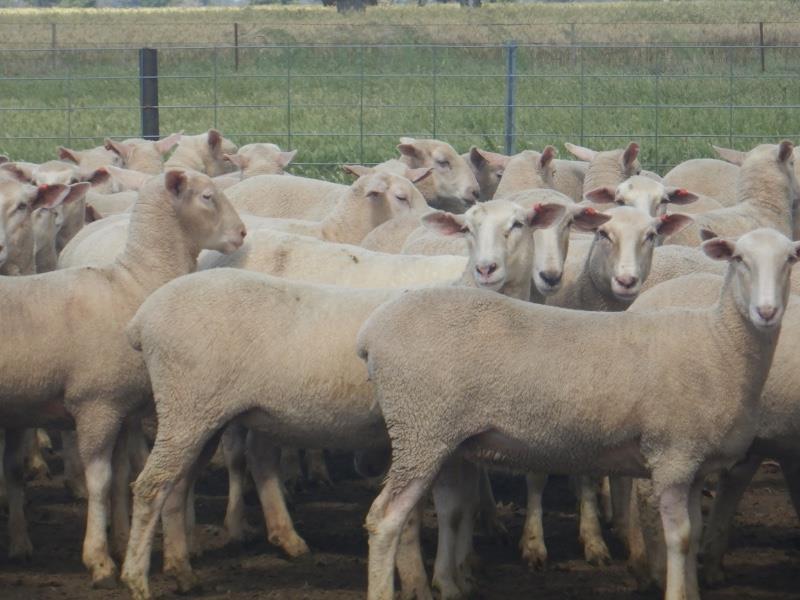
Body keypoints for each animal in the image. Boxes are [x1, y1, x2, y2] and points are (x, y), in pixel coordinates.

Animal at [0, 170, 245, 586]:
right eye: (207, 197)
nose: (242, 233)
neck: (135, 283)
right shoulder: (95, 405)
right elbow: (99, 483)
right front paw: (98, 560)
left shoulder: (121, 409)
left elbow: (118, 480)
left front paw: (120, 542)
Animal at [119, 199, 564, 600]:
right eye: (467, 229)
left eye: (519, 224)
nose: (486, 269)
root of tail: (142, 318)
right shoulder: (419, 430)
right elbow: (414, 517)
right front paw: (419, 583)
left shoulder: (450, 436)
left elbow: (460, 507)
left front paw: (461, 575)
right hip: (187, 405)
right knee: (151, 486)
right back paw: (137, 579)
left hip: (201, 412)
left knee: (178, 483)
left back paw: (184, 568)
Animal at [356, 227, 798, 600]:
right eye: (739, 258)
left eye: (790, 259)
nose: (767, 311)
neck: (720, 343)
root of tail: (372, 331)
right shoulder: (672, 455)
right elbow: (681, 538)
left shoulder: (694, 465)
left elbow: (694, 534)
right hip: (421, 428)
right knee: (385, 520)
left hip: (439, 437)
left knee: (442, 511)